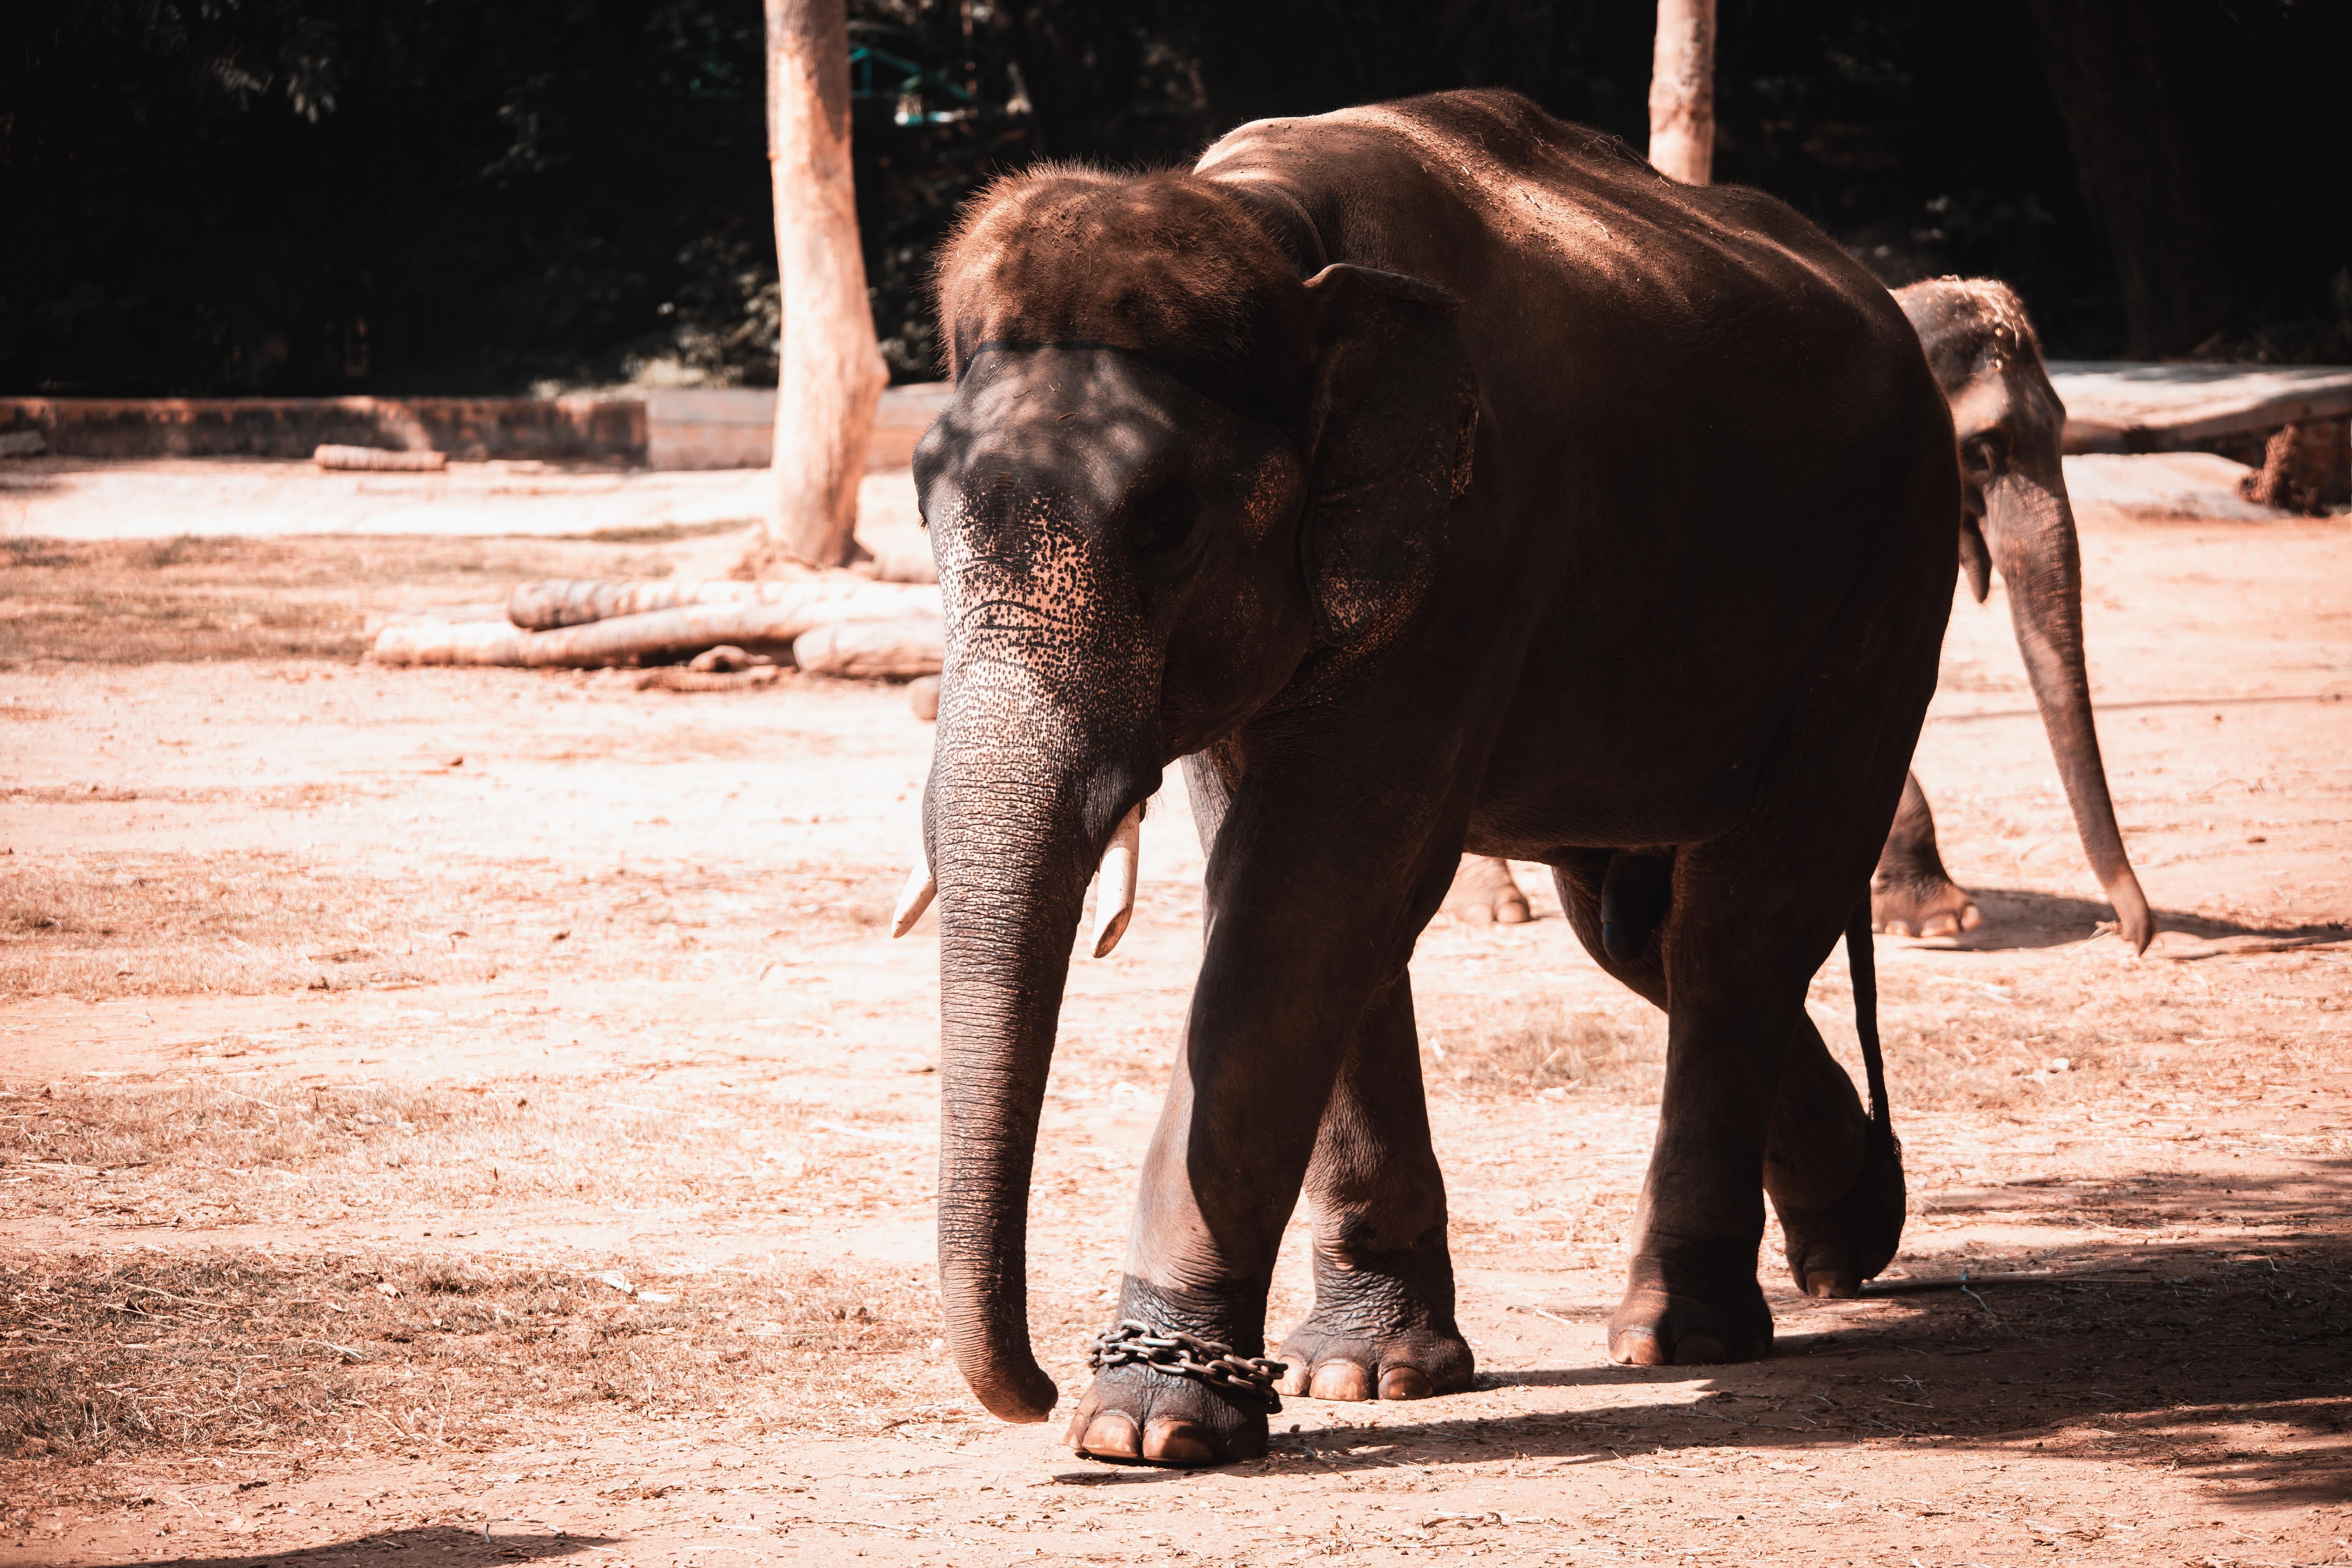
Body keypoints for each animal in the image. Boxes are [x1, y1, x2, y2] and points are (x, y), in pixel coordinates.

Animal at [898, 89, 1959, 1468]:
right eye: (922, 503)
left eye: (1167, 522)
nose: (1029, 1389)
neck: (1268, 231)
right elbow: (1313, 899)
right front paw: (1364, 1373)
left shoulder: (1477, 538)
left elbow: (1308, 896)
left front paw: (1147, 1425)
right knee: (1642, 931)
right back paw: (1853, 1235)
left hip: (1891, 573)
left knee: (1743, 923)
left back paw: (1686, 1334)